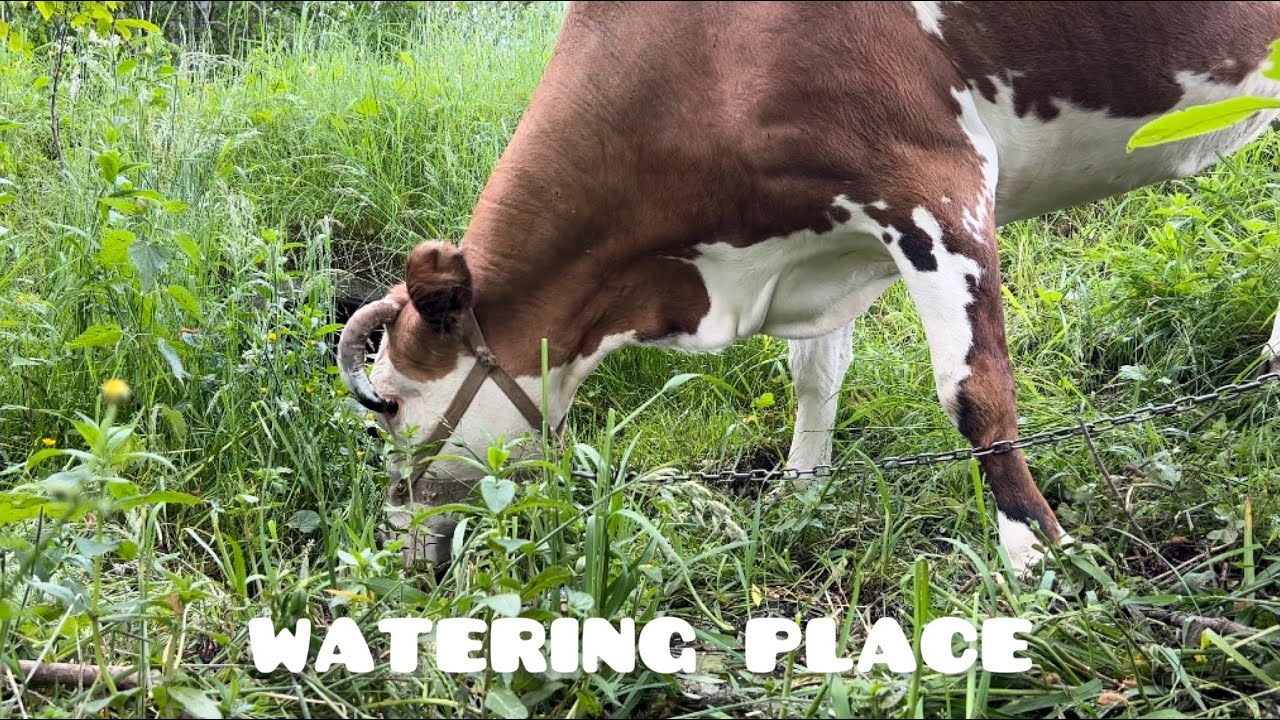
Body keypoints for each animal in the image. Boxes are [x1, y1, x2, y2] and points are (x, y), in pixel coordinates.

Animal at [337, 1, 1280, 575]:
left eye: (388, 404)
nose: (394, 543)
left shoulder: (936, 182)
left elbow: (975, 392)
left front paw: (1035, 555)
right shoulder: (824, 225)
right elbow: (816, 372)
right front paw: (801, 490)